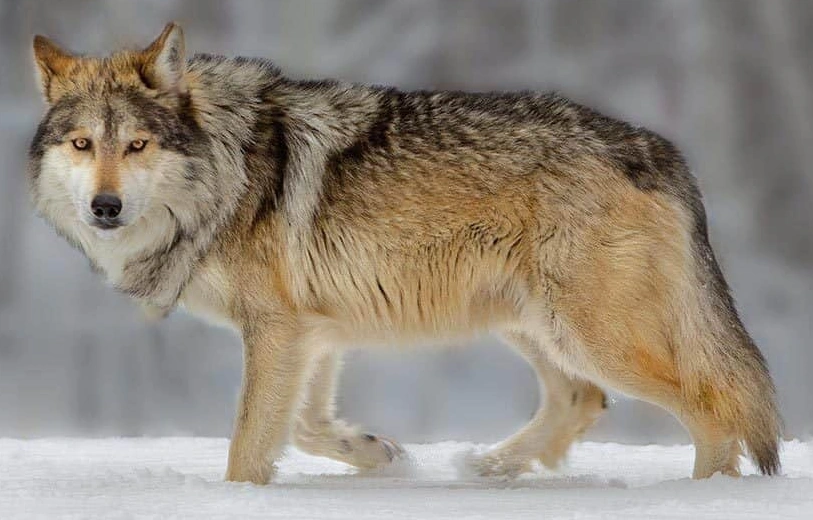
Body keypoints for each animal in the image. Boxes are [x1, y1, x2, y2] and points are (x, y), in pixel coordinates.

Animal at [28, 23, 782, 484]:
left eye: (136, 145)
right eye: (83, 145)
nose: (104, 207)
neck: (223, 170)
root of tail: (655, 148)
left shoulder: (277, 329)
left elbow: (248, 445)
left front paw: (238, 498)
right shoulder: (312, 331)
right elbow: (305, 426)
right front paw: (378, 455)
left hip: (590, 334)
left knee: (714, 406)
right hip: (531, 324)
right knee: (584, 399)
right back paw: (488, 471)